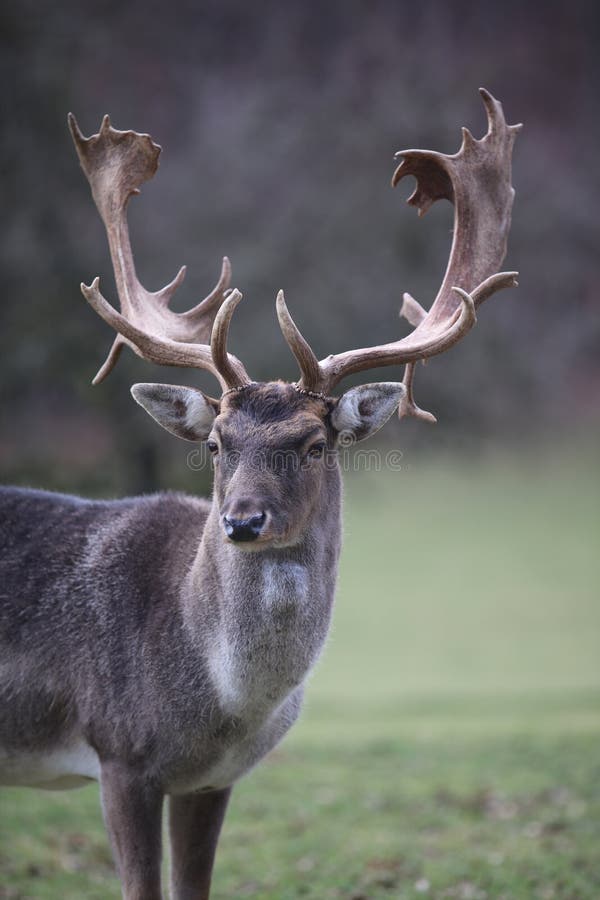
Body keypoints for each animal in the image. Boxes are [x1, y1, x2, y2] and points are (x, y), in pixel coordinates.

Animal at [0, 89, 520, 899]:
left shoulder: (212, 780)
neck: (219, 701)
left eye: (314, 443)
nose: (243, 521)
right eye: (216, 443)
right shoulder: (118, 751)